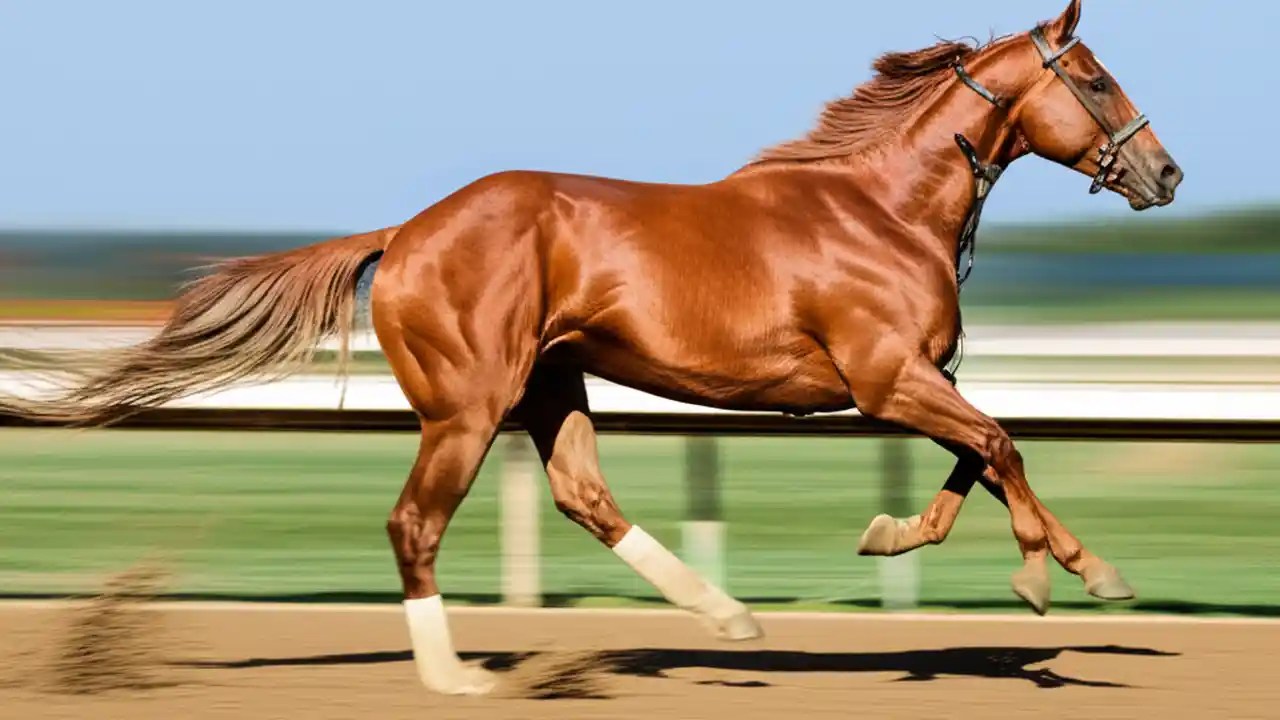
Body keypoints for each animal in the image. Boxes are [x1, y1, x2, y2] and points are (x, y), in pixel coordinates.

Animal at [1, 0, 1181, 696]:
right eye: (1093, 78)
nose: (1163, 174)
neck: (882, 209)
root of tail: (405, 232)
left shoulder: (908, 380)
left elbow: (974, 458)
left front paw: (903, 536)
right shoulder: (885, 379)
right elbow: (1000, 446)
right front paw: (1067, 576)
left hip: (550, 381)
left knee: (582, 494)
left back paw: (729, 620)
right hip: (468, 405)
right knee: (416, 521)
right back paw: (458, 678)